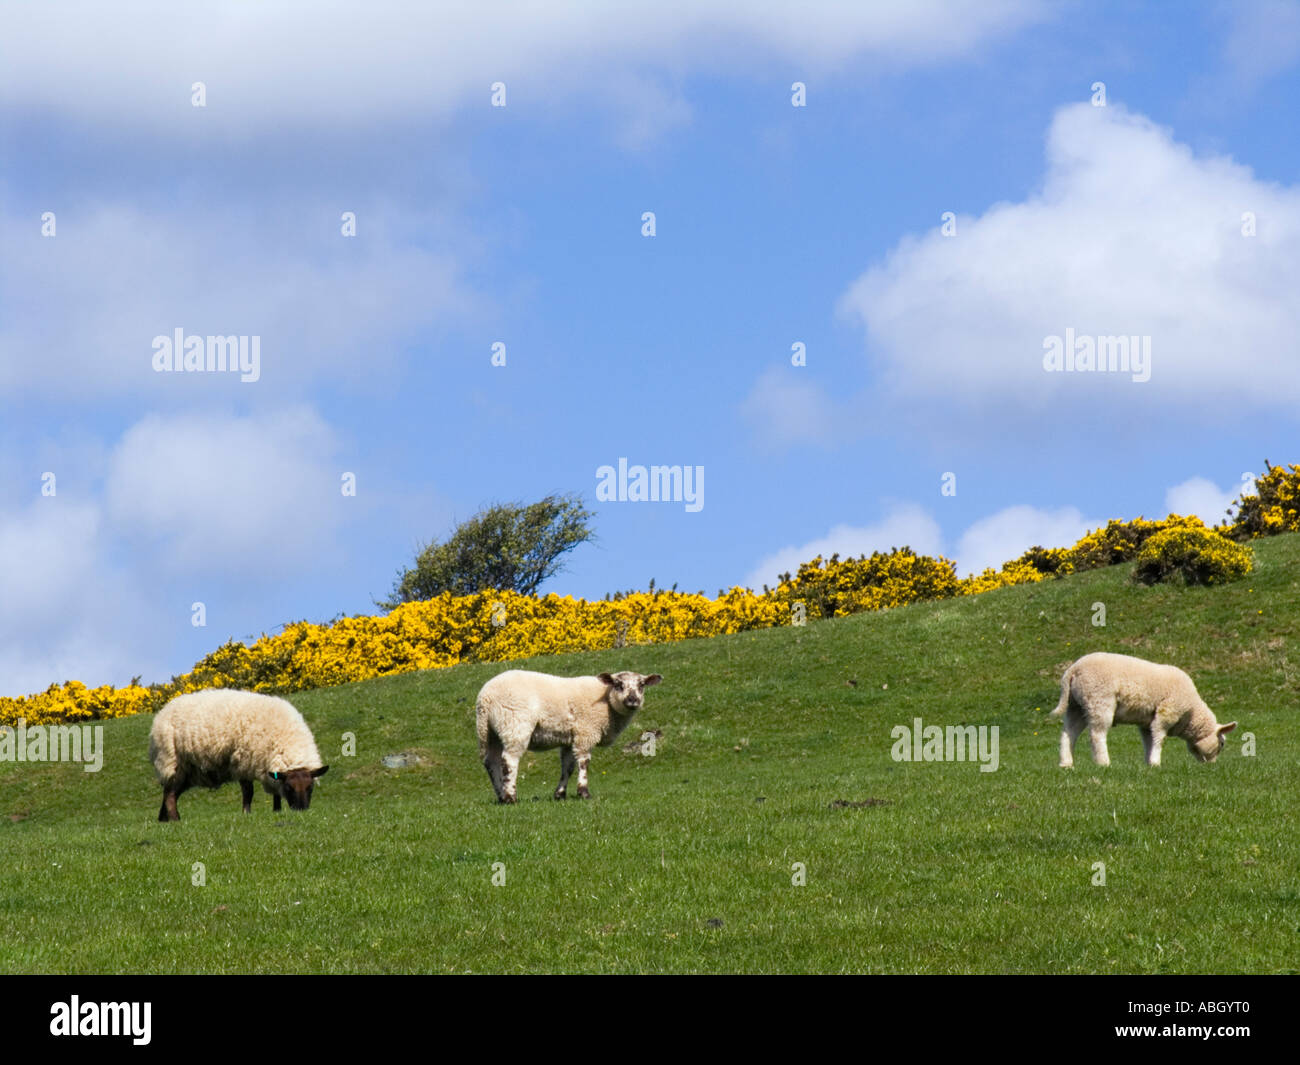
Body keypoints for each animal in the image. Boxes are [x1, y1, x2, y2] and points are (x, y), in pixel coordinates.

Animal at [149, 689, 328, 821]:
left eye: (310, 787)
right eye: (290, 788)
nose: (301, 810)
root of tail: (161, 713)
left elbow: (275, 792)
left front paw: (276, 811)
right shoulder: (242, 762)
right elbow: (249, 792)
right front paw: (246, 813)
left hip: (188, 771)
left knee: (170, 793)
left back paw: (164, 819)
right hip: (172, 763)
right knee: (170, 795)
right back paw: (175, 819)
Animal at [475, 669, 662, 803]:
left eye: (642, 685)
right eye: (618, 684)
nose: (632, 700)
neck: (607, 703)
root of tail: (486, 696)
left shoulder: (569, 738)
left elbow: (568, 767)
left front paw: (560, 794)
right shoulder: (585, 733)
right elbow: (584, 763)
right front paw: (584, 793)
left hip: (490, 732)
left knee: (490, 762)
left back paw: (501, 795)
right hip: (515, 725)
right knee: (509, 761)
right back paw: (510, 797)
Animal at [1050, 652, 1236, 768]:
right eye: (1222, 744)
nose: (1211, 766)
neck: (1191, 714)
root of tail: (1073, 669)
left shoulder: (1147, 722)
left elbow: (1149, 740)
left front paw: (1149, 763)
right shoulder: (1166, 713)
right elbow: (1159, 738)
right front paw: (1156, 762)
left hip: (1076, 706)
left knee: (1068, 733)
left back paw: (1066, 763)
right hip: (1099, 700)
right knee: (1097, 734)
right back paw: (1103, 762)